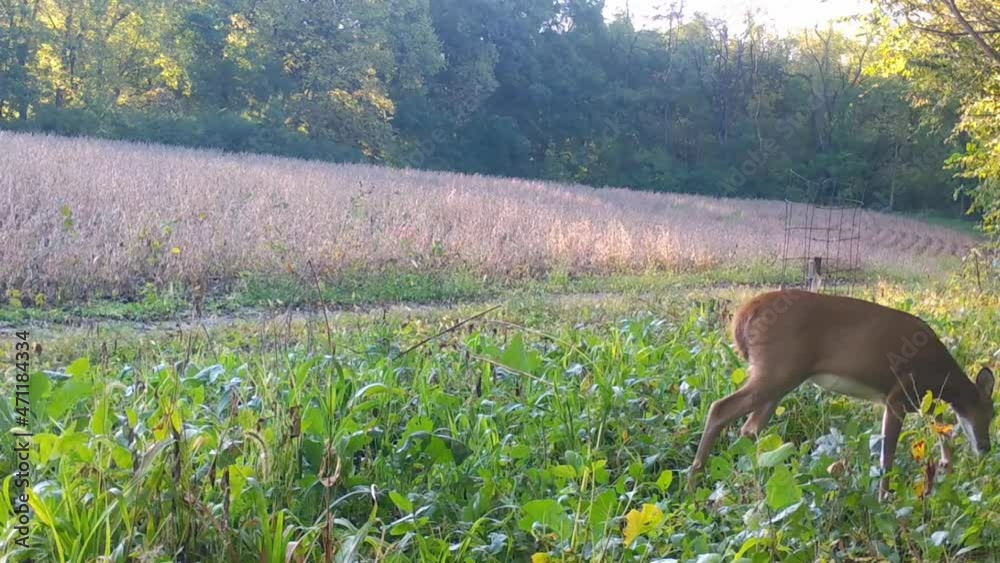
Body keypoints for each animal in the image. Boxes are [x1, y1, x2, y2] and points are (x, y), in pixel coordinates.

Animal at [686, 289, 995, 496]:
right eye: (991, 414)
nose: (986, 448)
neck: (940, 374)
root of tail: (744, 314)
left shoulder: (918, 400)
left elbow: (940, 426)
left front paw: (946, 468)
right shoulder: (898, 395)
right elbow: (888, 455)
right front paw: (885, 497)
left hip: (781, 379)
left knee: (749, 428)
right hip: (776, 370)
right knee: (720, 409)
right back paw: (693, 480)